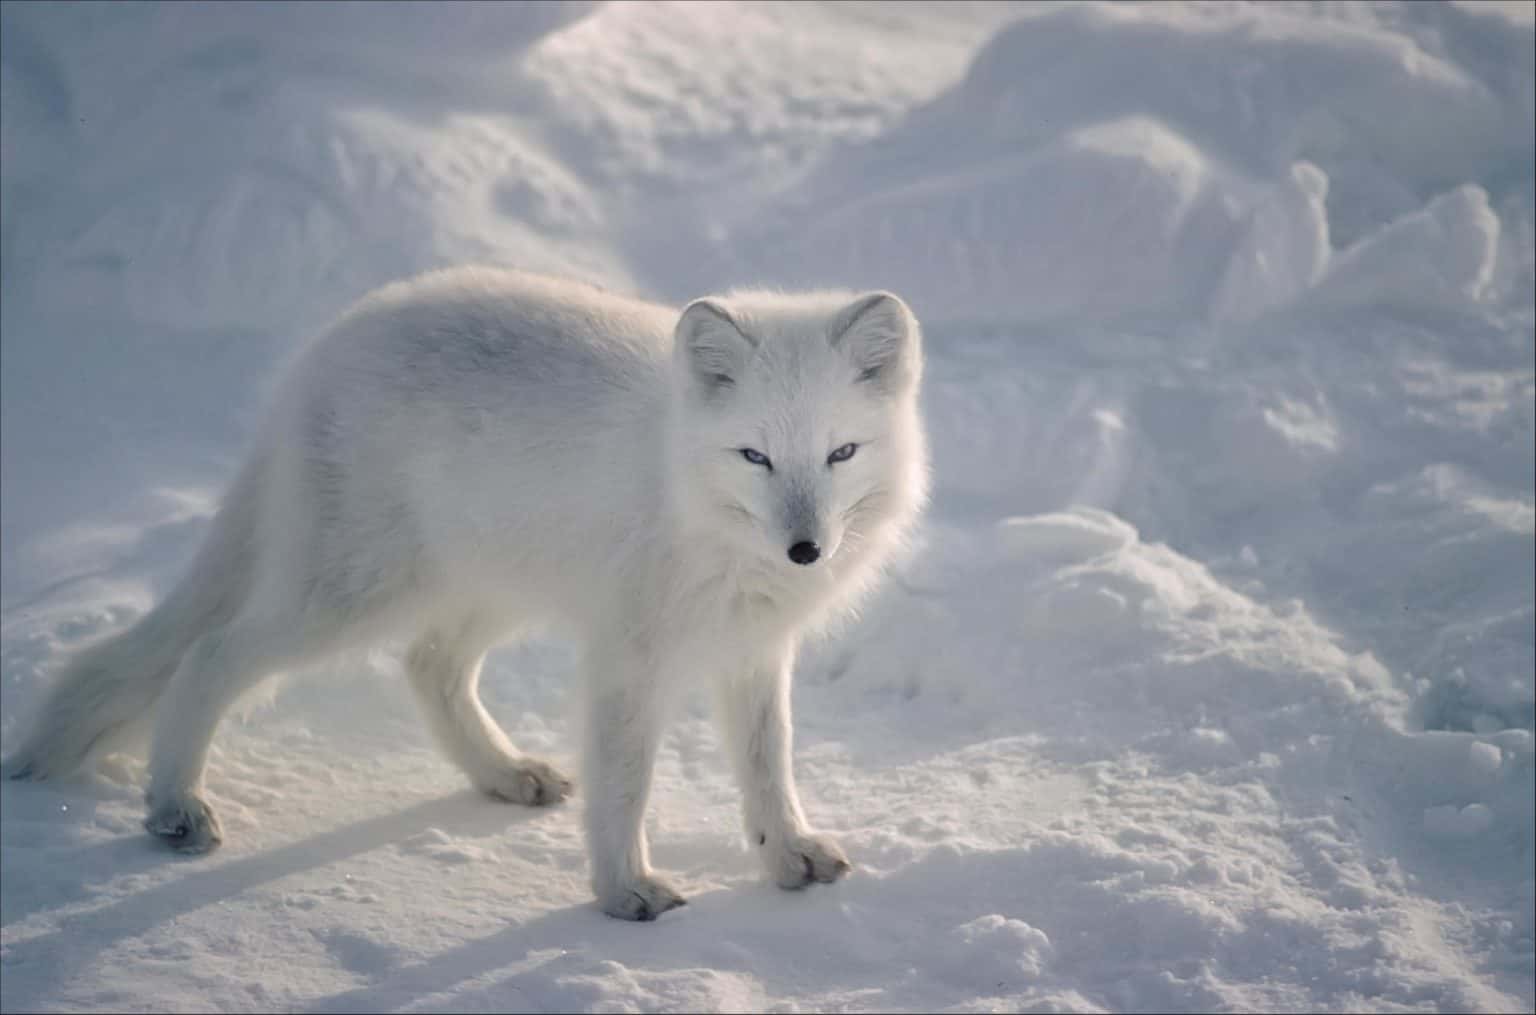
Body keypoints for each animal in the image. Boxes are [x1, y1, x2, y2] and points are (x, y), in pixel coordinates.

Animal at [1, 267, 929, 920]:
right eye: (755, 456)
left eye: (841, 452)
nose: (806, 551)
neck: (686, 493)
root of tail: (318, 354)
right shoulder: (629, 657)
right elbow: (625, 784)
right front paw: (623, 889)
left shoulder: (752, 651)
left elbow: (770, 766)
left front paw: (789, 856)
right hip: (350, 595)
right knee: (211, 652)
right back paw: (174, 804)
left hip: (481, 588)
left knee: (429, 667)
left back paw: (505, 772)